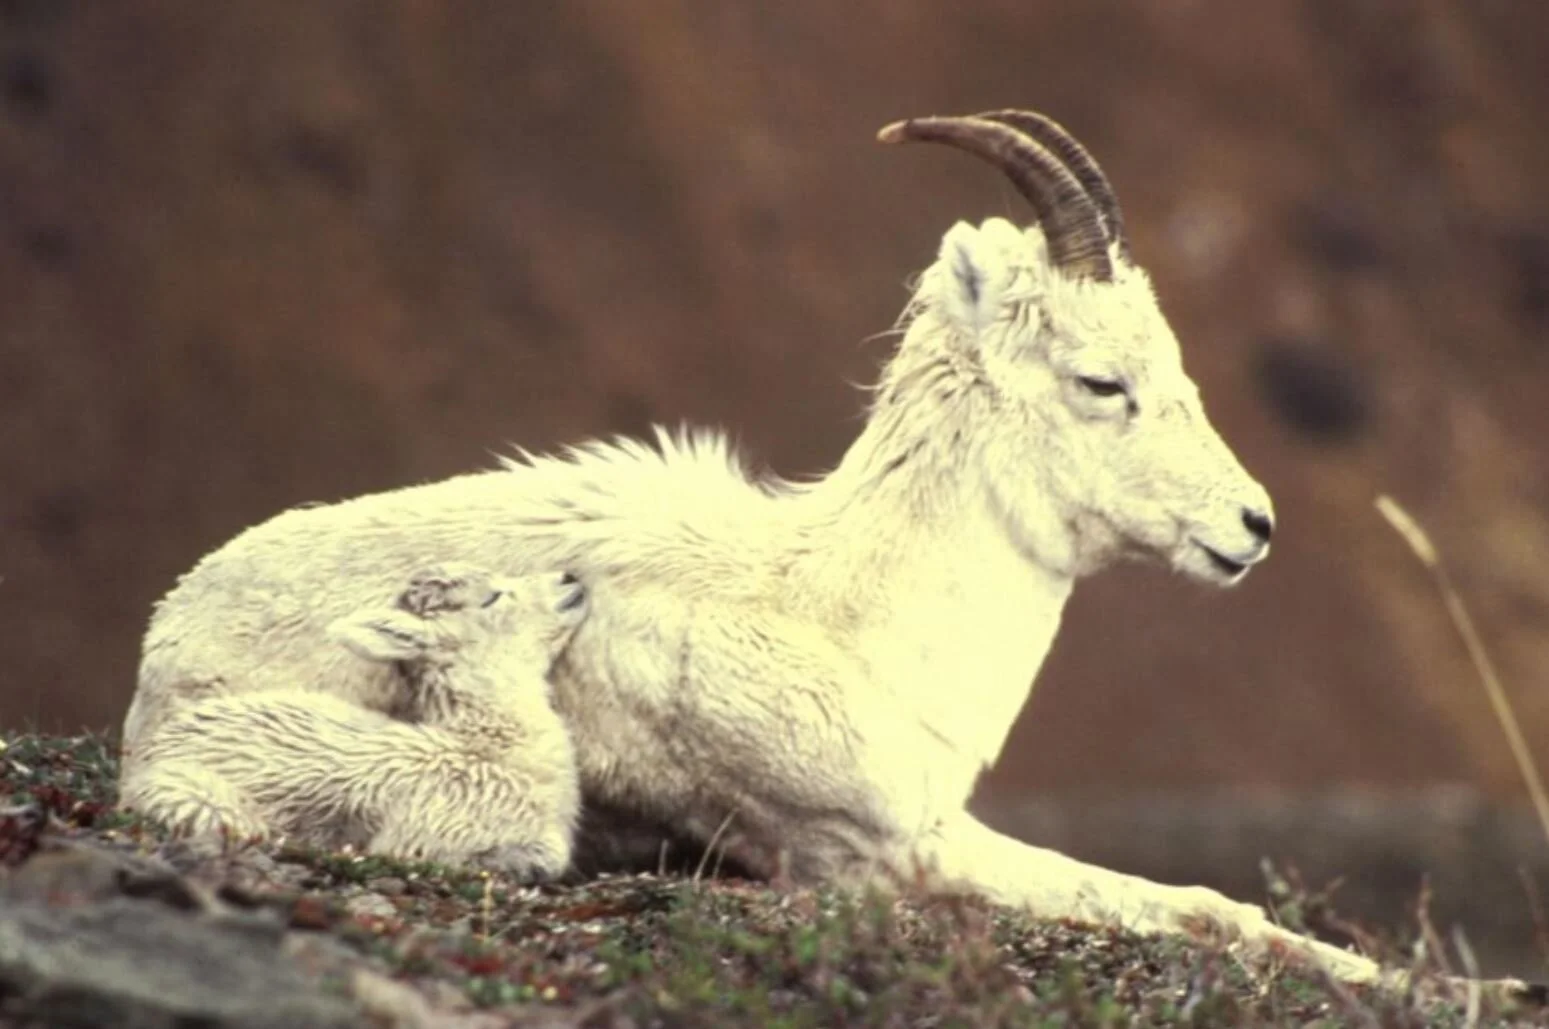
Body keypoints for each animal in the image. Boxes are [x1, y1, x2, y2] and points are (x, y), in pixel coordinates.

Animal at [119, 564, 585, 878]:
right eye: (492, 598)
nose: (571, 578)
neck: (486, 748)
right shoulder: (426, 836)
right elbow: (545, 857)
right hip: (195, 796)